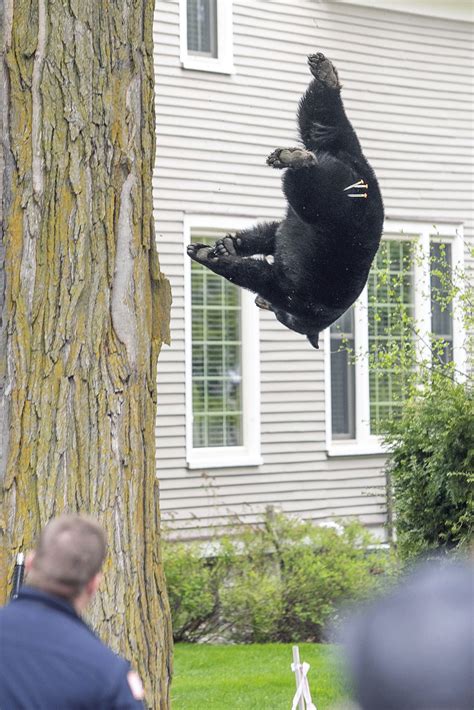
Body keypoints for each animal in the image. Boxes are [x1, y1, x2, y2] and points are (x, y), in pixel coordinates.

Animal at [187, 53, 384, 349]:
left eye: (280, 316)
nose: (260, 303)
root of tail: (358, 172)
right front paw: (223, 247)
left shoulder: (299, 296)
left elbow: (266, 263)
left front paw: (221, 249)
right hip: (340, 180)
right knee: (320, 119)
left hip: (329, 197)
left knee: (316, 121)